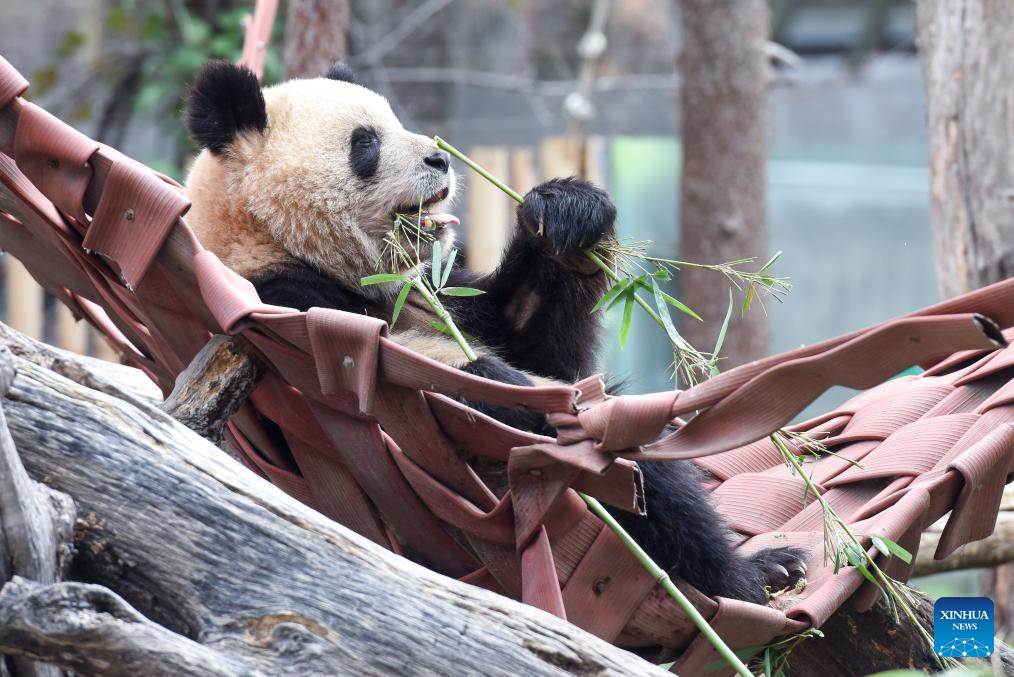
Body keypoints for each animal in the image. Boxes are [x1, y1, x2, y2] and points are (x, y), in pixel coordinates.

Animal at [183, 60, 805, 605]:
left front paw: (566, 213)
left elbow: (533, 339)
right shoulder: (286, 303)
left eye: (396, 120)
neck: (266, 236)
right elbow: (450, 383)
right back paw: (746, 579)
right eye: (366, 144)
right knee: (645, 480)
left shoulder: (433, 292)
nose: (440, 158)